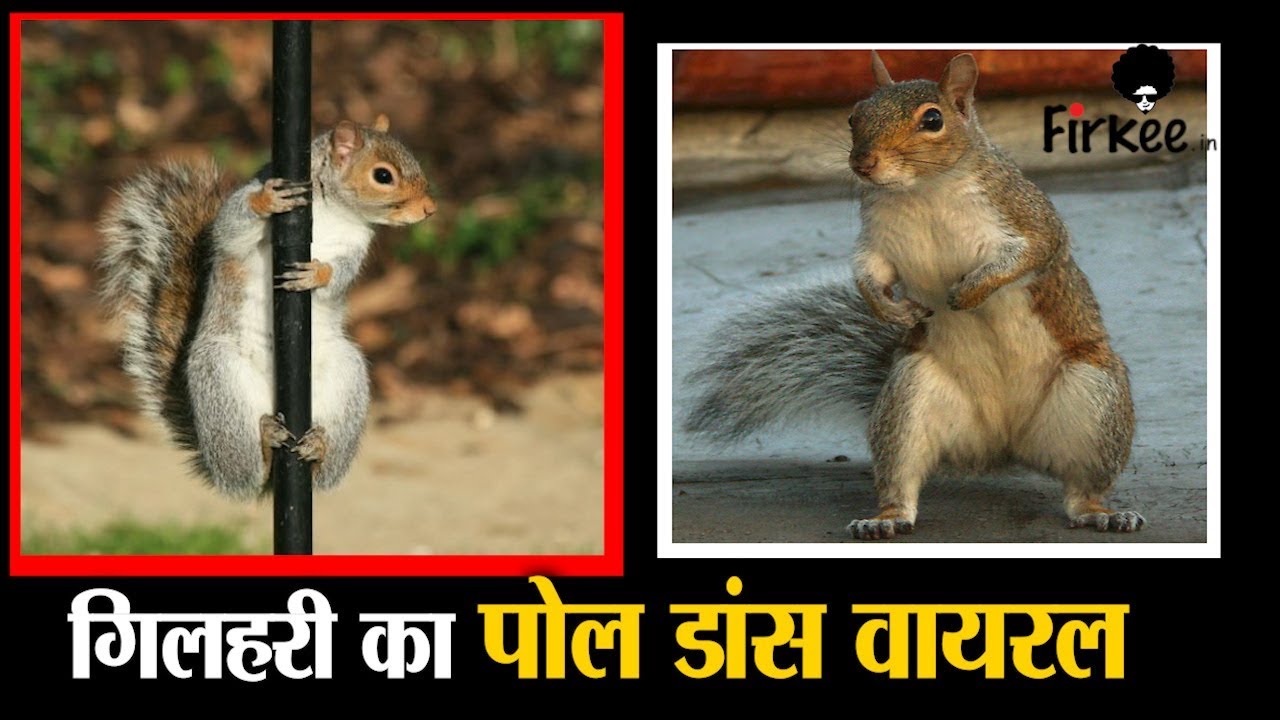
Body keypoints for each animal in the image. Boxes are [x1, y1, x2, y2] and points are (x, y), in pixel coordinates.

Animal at [97, 115, 436, 501]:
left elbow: (339, 277)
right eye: (383, 175)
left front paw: (317, 274)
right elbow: (230, 229)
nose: (430, 209)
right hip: (220, 382)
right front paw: (267, 199)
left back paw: (318, 449)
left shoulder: (355, 247)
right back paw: (262, 443)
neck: (336, 212)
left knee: (321, 475)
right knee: (247, 475)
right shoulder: (243, 208)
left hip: (347, 376)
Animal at [683, 51, 1146, 540]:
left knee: (1082, 487)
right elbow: (869, 273)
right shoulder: (878, 243)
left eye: (933, 120)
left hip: (1094, 398)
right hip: (909, 396)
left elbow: (1032, 252)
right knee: (901, 477)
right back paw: (884, 519)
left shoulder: (1022, 214)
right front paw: (889, 309)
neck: (922, 192)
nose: (863, 163)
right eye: (853, 115)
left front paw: (968, 292)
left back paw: (1103, 512)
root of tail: (1001, 445)